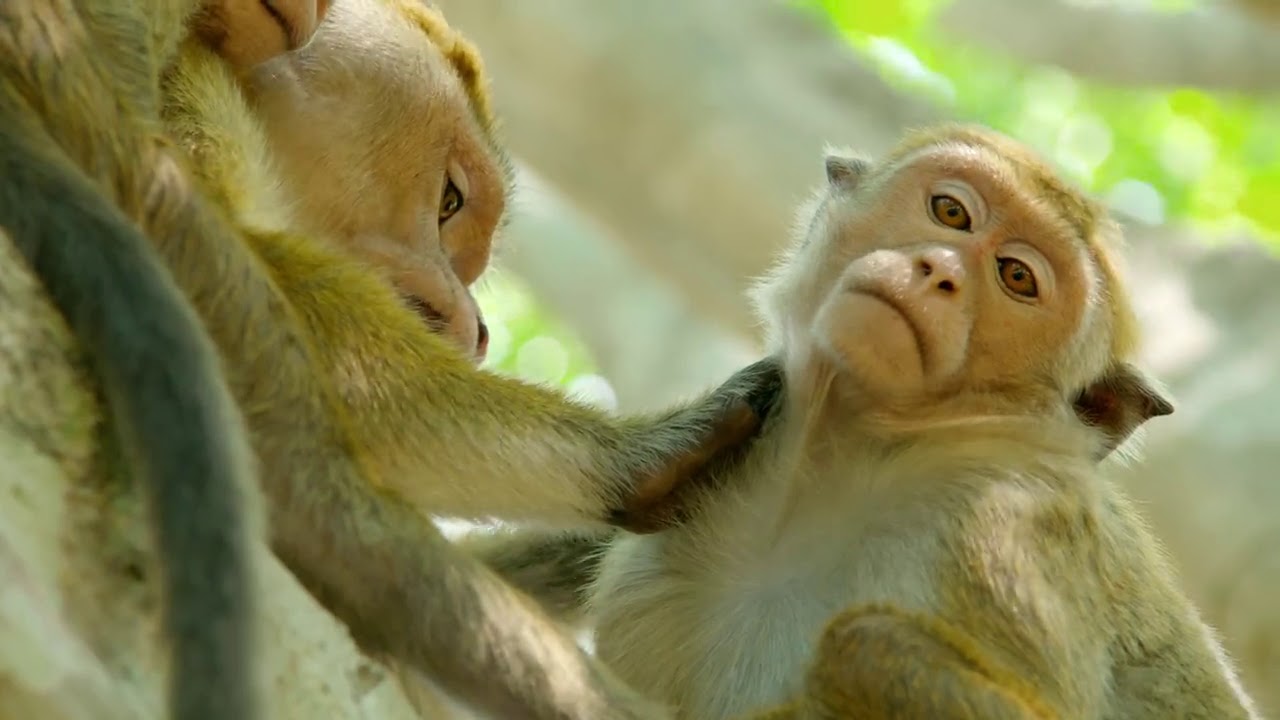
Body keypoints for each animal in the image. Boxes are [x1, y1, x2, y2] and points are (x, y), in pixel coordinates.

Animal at [461, 124, 1264, 720]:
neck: (837, 464)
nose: (939, 270)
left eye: (1016, 278)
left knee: (868, 646)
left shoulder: (1005, 533)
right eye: (950, 213)